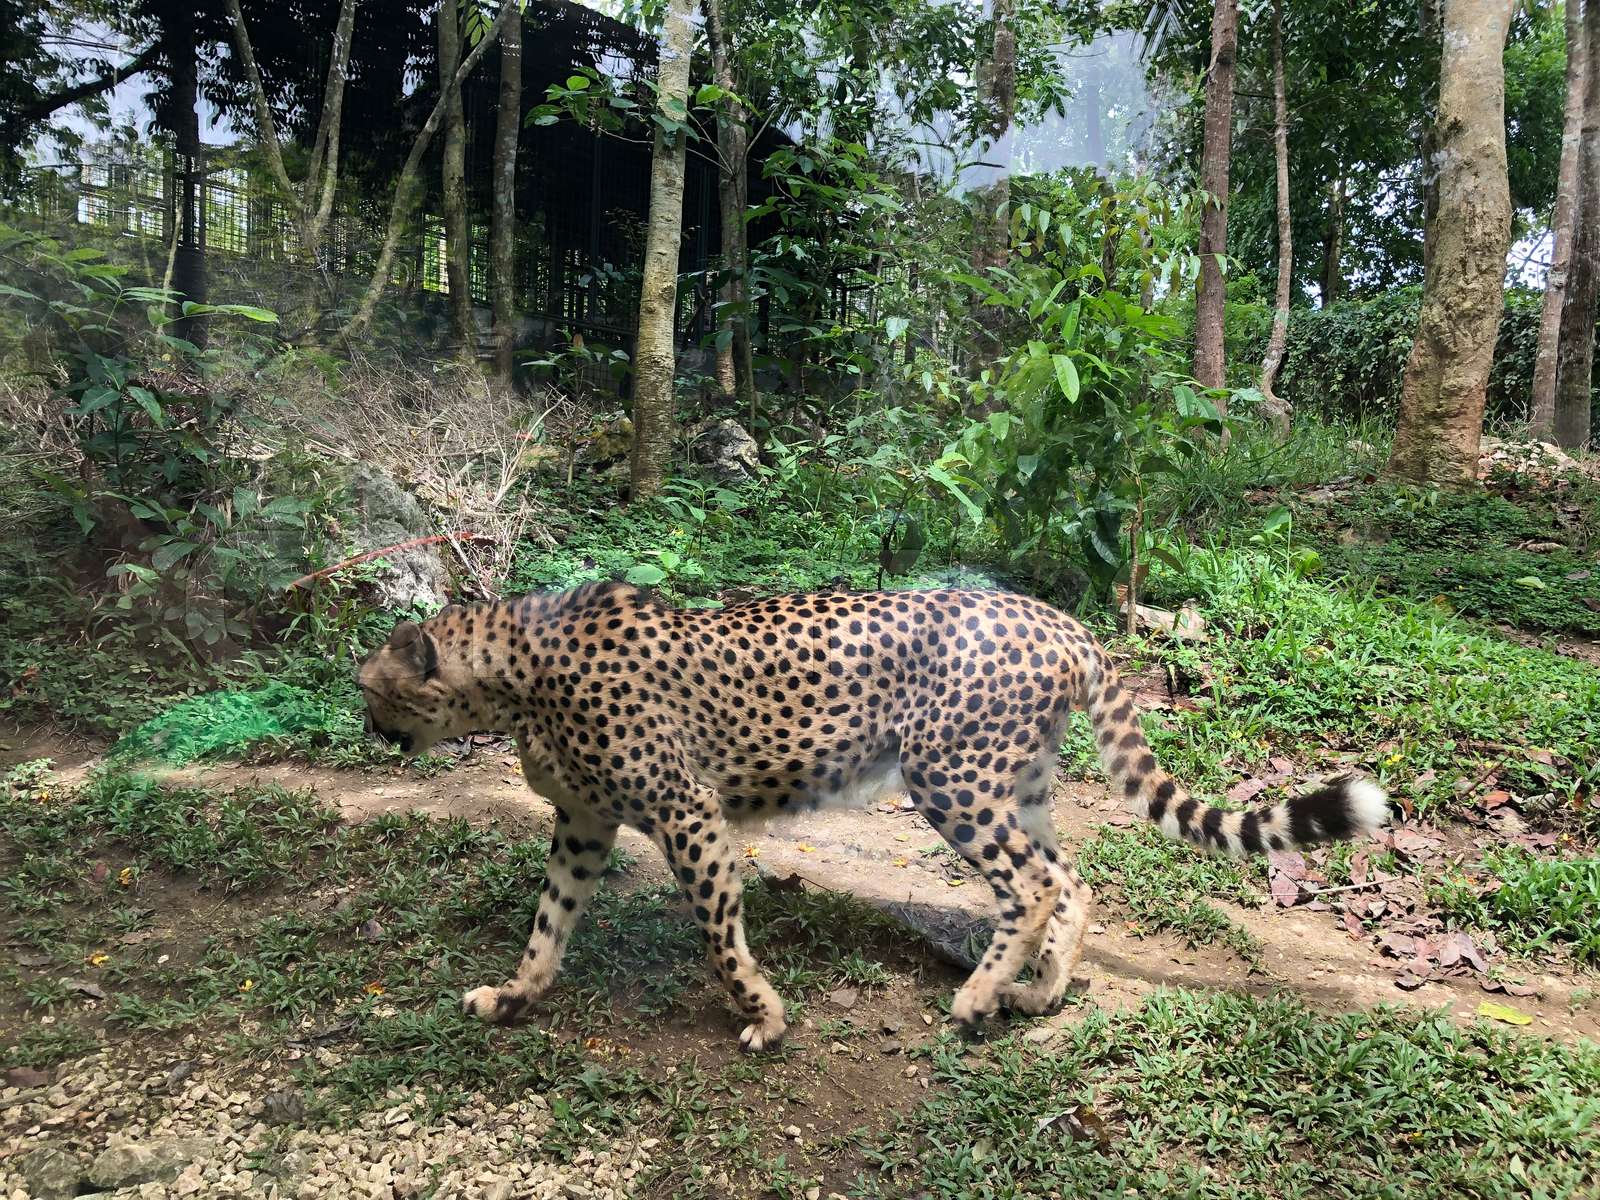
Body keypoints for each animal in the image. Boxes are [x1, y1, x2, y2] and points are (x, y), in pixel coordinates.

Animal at [358, 581, 1389, 1051]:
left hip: (950, 777)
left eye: (372, 686)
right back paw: (1039, 995)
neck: (515, 674)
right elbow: (548, 925)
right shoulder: (583, 823)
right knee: (1071, 879)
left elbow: (718, 932)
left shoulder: (690, 815)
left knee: (1030, 886)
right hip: (1017, 785)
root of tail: (1062, 620)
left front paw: (764, 1016)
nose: (366, 725)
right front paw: (514, 997)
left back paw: (977, 998)